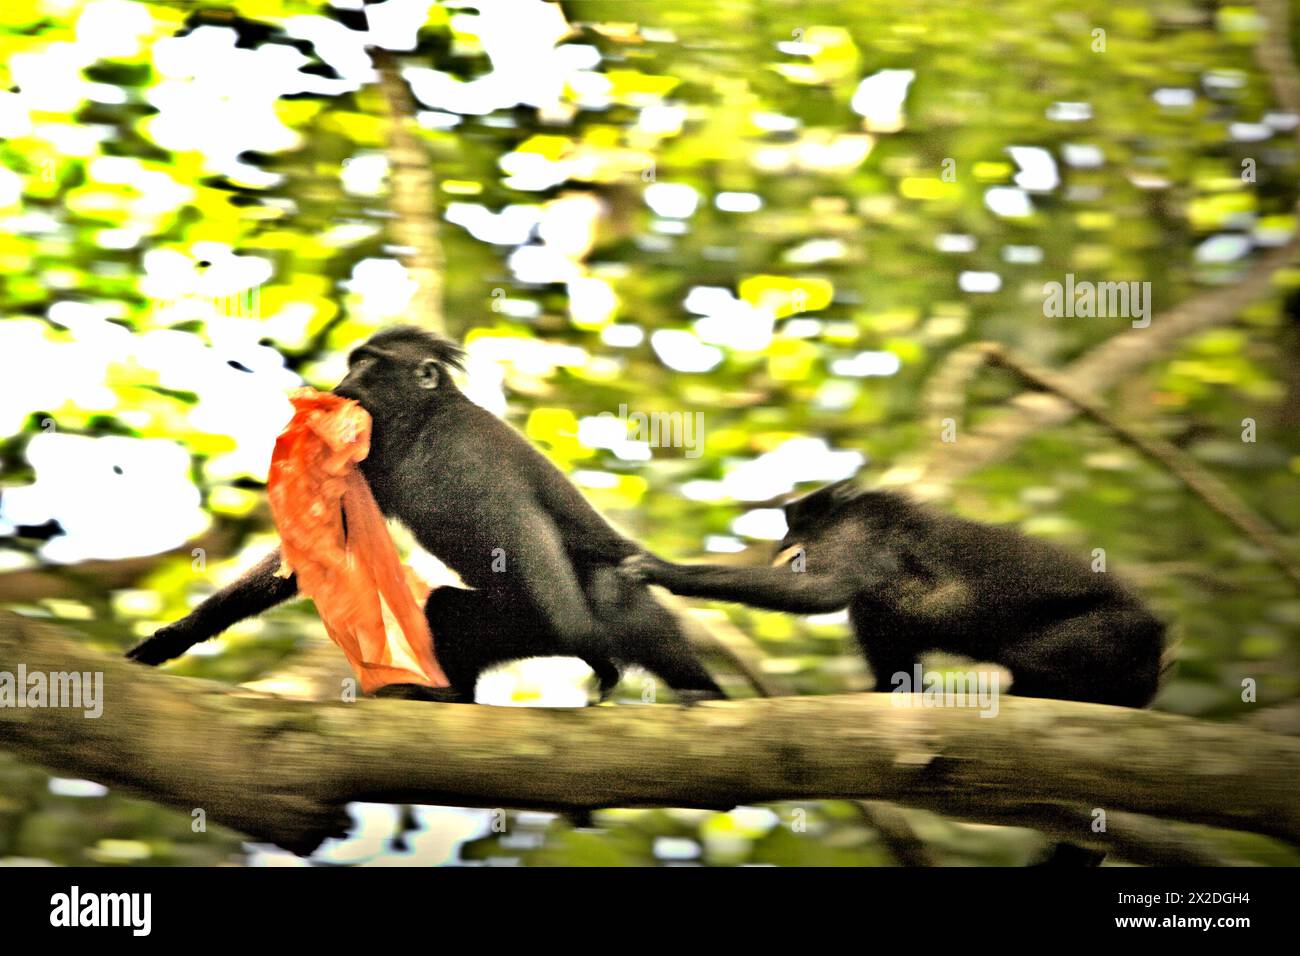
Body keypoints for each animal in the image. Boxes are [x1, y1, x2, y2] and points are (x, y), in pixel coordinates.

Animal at [126, 326, 724, 704]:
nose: (341, 385)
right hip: (519, 625)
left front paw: (602, 664)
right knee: (448, 611)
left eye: (367, 362)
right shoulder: (379, 465)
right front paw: (173, 637)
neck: (425, 424)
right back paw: (455, 693)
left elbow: (525, 536)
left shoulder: (466, 453)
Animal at [621, 479, 1165, 708]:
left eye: (796, 519)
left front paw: (667, 571)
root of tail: (1156, 645)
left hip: (1104, 634)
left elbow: (824, 591)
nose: (780, 543)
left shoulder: (861, 528)